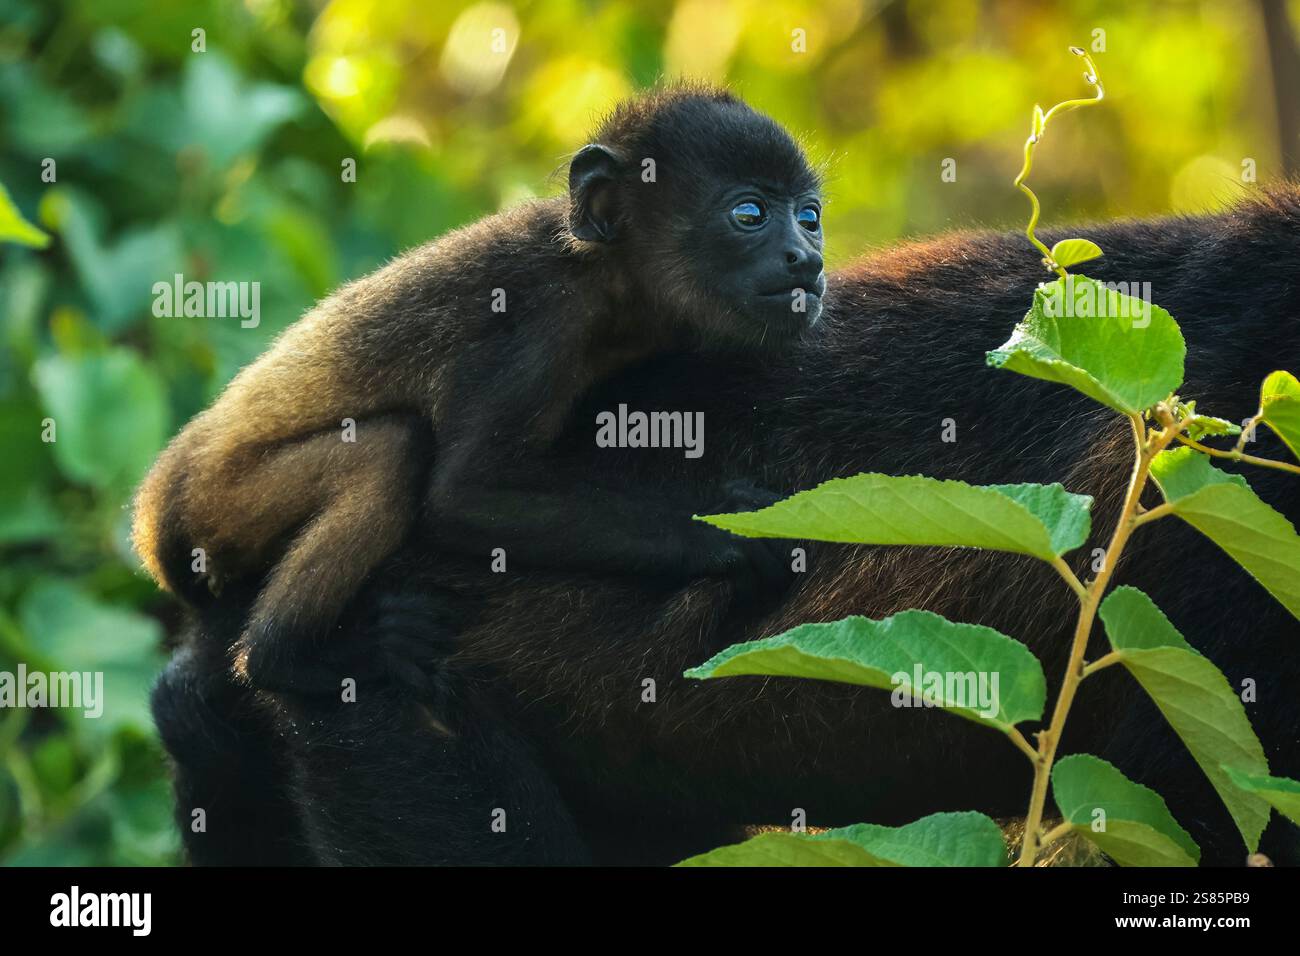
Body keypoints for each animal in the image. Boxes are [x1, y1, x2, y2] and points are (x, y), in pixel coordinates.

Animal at [131, 86, 827, 690]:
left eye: (810, 217)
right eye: (749, 214)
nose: (809, 259)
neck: (609, 279)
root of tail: (156, 511)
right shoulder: (529, 327)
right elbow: (464, 496)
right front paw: (729, 532)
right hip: (222, 505)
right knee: (390, 450)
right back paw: (290, 659)